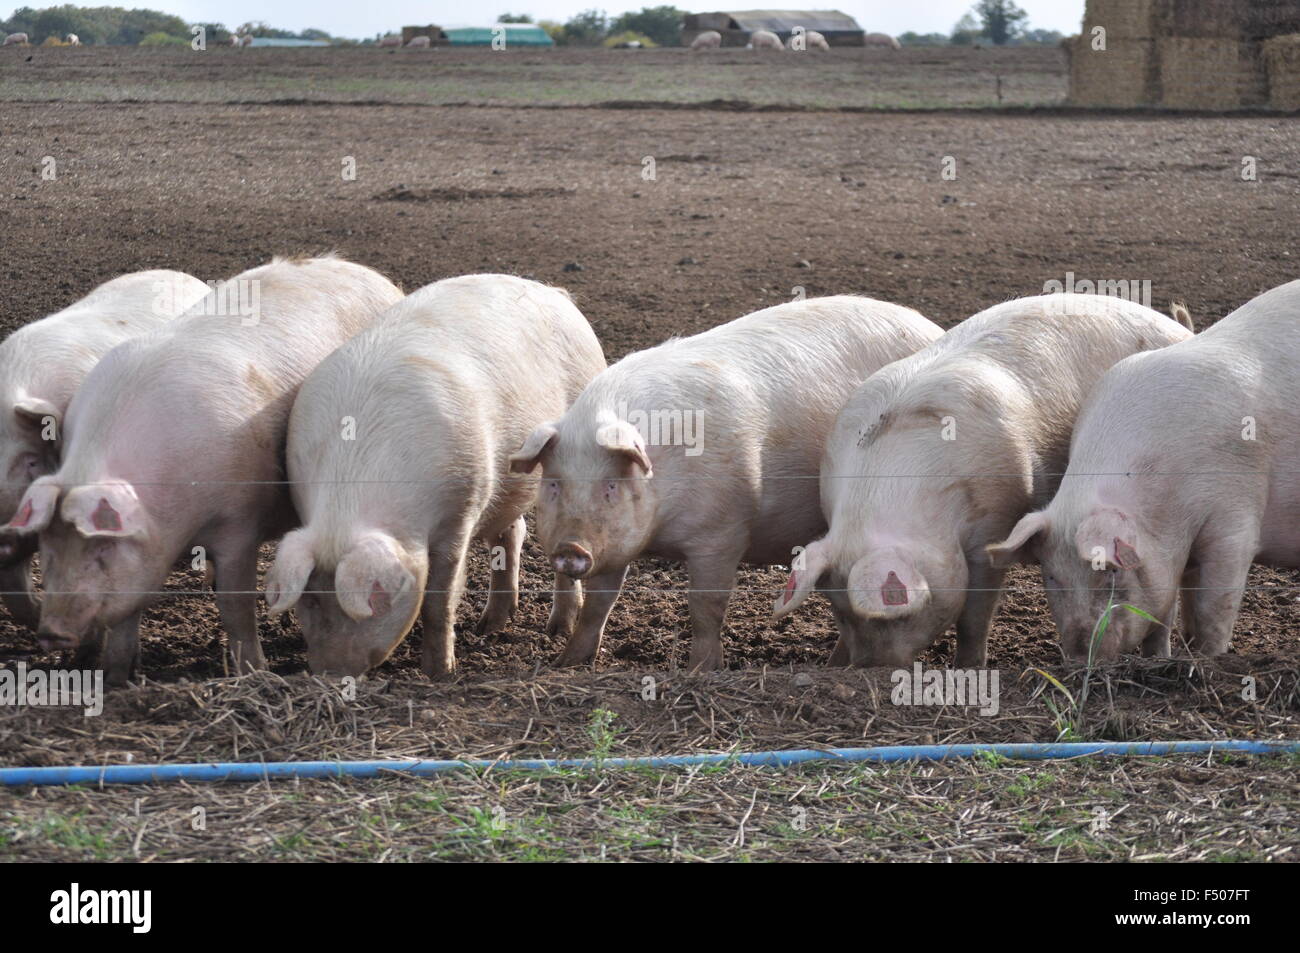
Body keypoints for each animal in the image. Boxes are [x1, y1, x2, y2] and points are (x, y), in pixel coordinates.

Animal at [263, 275, 606, 678]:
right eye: (310, 601)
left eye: (370, 603)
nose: (331, 673)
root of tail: (555, 292)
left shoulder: (460, 512)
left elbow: (438, 601)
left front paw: (440, 673)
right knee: (511, 533)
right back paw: (489, 626)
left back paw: (556, 631)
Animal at [509, 295, 944, 671]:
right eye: (554, 485)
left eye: (610, 486)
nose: (570, 548)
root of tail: (930, 325)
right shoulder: (616, 545)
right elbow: (599, 604)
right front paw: (566, 663)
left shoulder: (723, 531)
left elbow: (707, 606)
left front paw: (699, 671)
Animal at [773, 294, 1194, 667]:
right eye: (839, 612)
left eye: (900, 615)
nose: (871, 667)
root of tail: (1178, 328)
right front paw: (833, 664)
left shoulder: (994, 525)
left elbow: (975, 613)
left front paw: (969, 667)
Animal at [987, 281, 1300, 661]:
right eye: (1052, 577)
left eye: (1108, 573)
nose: (1081, 657)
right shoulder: (1167, 553)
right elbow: (1169, 610)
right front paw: (1162, 658)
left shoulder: (1234, 522)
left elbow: (1214, 606)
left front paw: (1206, 660)